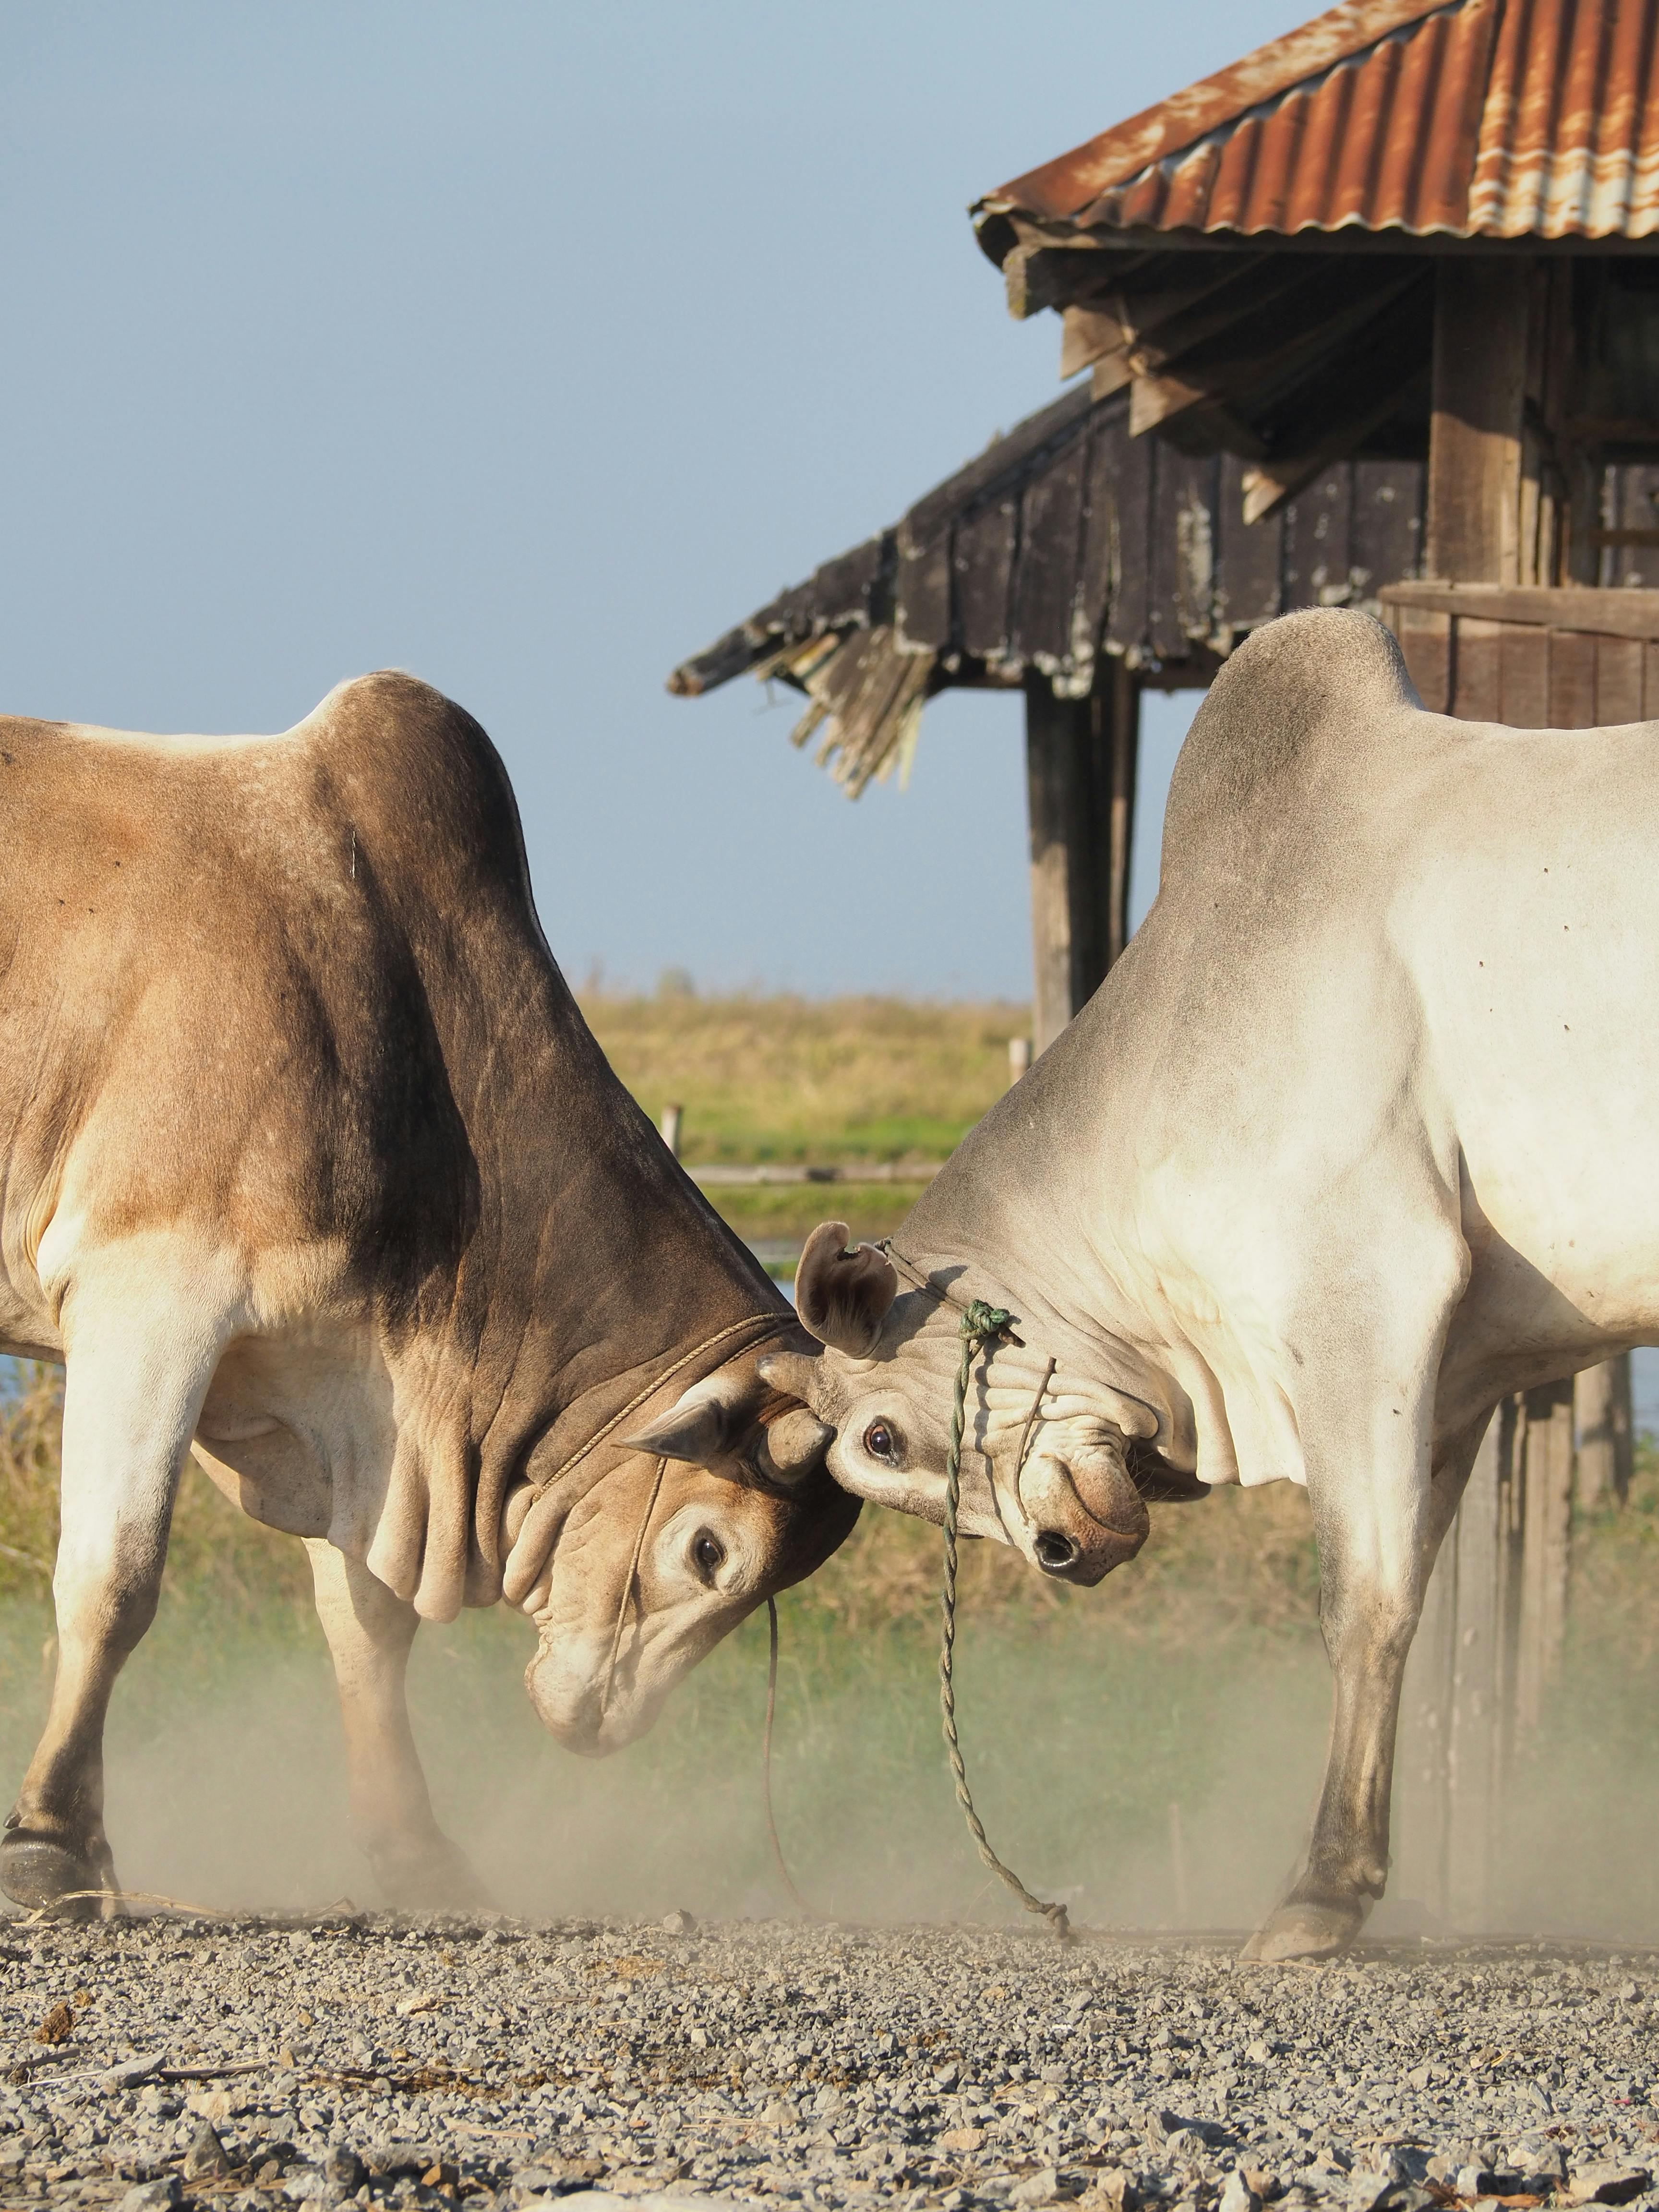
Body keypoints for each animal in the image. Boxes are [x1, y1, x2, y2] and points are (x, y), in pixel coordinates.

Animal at [0, 671, 857, 1916]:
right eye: (709, 1552)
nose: (600, 1726)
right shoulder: (149, 1291)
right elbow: (113, 1577)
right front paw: (53, 1844)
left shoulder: (343, 1387)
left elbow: (367, 1625)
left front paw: (415, 1851)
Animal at [644, 605, 1654, 1960]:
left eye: (884, 1437)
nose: (1065, 1550)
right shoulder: (1458, 1381)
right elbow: (1407, 1600)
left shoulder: (1368, 1292)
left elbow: (1364, 1601)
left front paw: (1320, 1893)